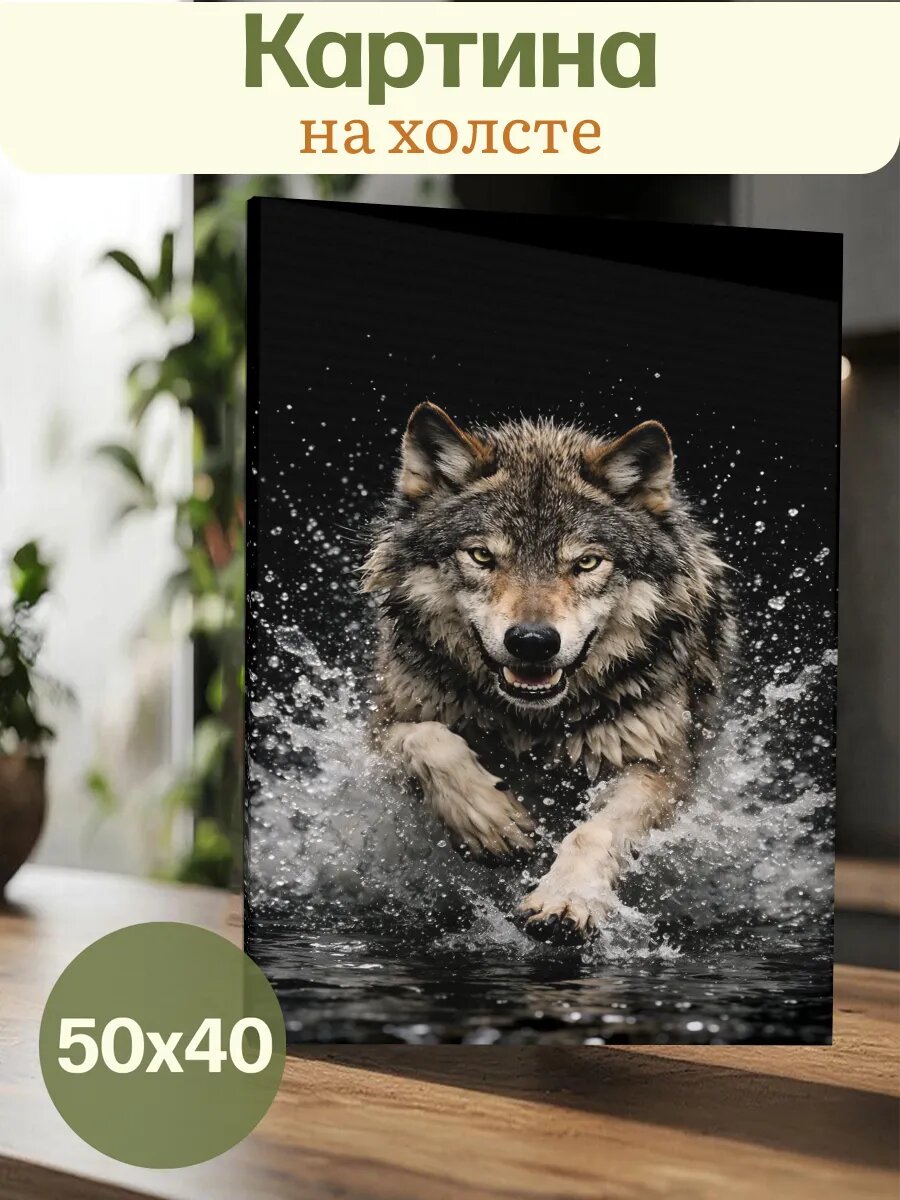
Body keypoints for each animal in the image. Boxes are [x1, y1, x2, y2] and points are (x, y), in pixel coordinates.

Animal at [362, 403, 735, 939]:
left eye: (587, 562)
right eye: (482, 556)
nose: (533, 642)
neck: (531, 724)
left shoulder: (660, 766)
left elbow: (595, 832)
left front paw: (565, 900)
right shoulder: (380, 731)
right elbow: (429, 740)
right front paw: (490, 819)